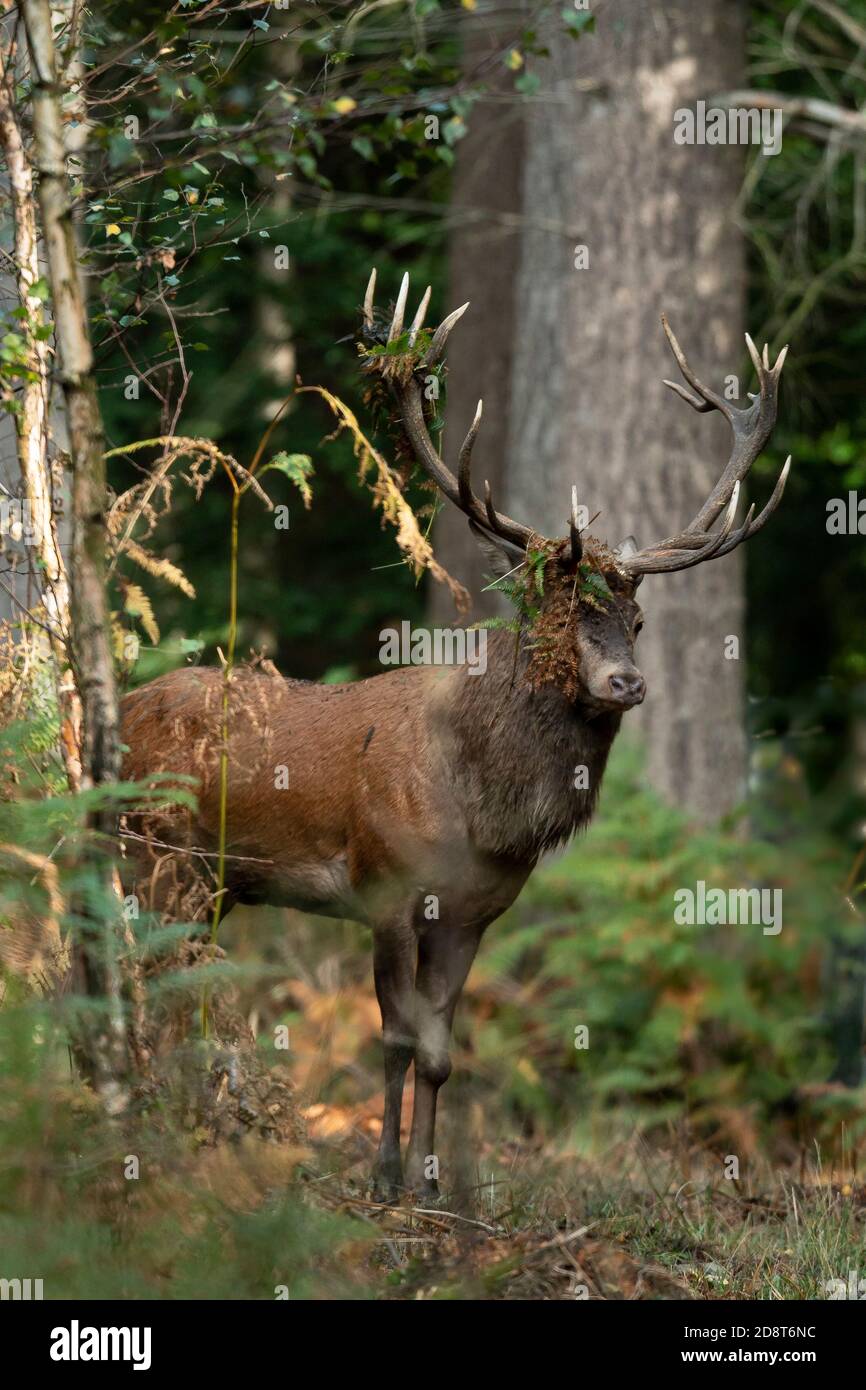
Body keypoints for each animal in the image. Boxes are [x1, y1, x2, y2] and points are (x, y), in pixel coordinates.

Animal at [120, 271, 790, 1201]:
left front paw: (434, 1186)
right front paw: (384, 1180)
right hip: (152, 852)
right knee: (136, 969)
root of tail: (120, 709)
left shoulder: (477, 914)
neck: (480, 813)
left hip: (209, 879)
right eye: (556, 618)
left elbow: (441, 1051)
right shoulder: (387, 888)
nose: (627, 683)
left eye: (637, 621)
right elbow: (398, 1039)